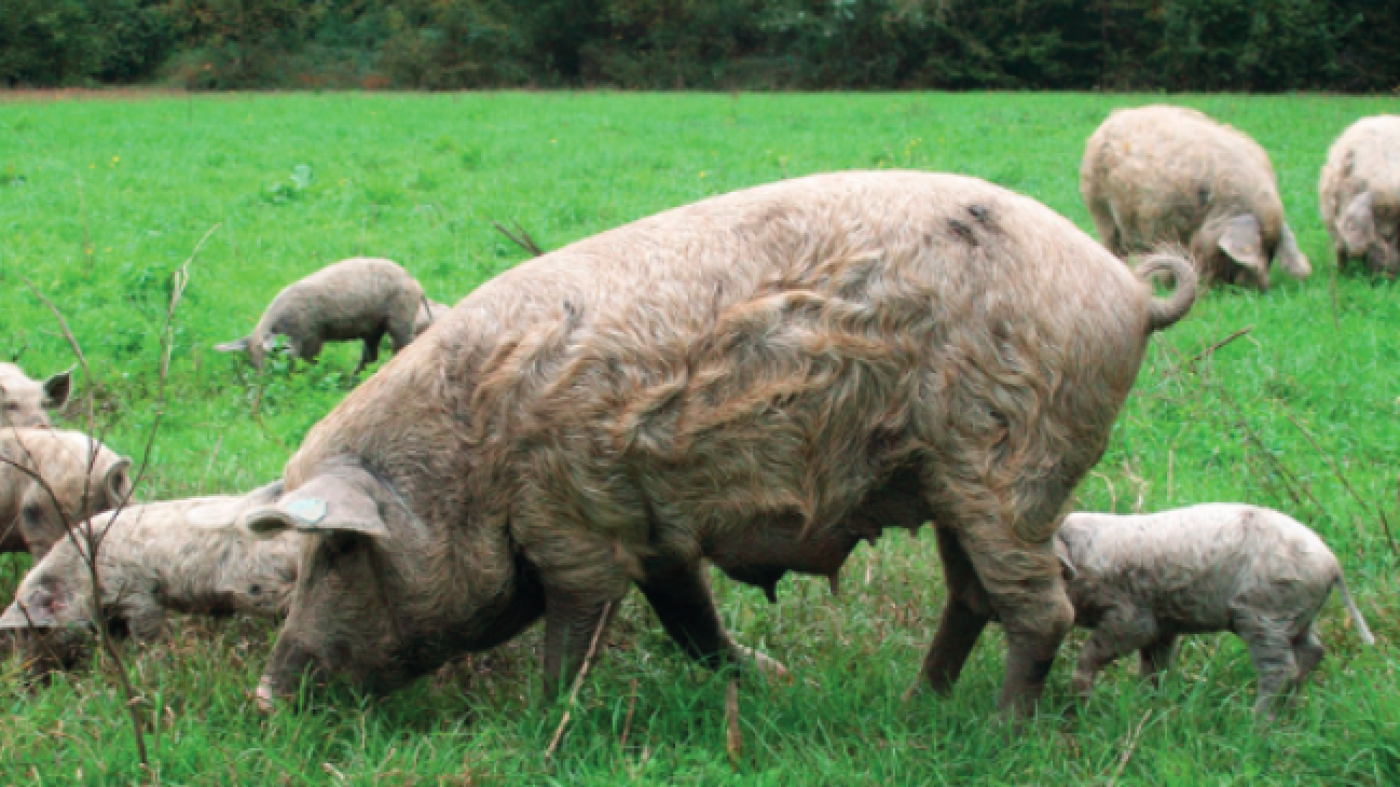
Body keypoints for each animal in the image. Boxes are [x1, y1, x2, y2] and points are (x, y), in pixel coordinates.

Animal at [0, 484, 300, 673]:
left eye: (34, 630)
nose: (23, 675)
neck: (82, 571)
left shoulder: (136, 590)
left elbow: (146, 628)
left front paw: (146, 660)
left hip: (259, 583)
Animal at [215, 257, 427, 374]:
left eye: (271, 359)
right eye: (253, 362)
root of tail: (416, 283)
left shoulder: (313, 336)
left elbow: (311, 361)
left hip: (400, 316)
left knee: (403, 345)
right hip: (374, 328)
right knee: (370, 356)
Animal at [240, 171, 1197, 717]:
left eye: (336, 553)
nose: (263, 695)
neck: (468, 460)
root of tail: (1125, 291)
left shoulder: (576, 529)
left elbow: (574, 636)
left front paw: (545, 730)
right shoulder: (654, 532)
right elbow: (693, 623)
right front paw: (775, 679)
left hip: (1012, 468)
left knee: (1041, 610)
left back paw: (998, 734)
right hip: (956, 484)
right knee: (974, 597)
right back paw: (916, 706)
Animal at [1055, 504, 1375, 715]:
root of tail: (1332, 564)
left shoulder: (1130, 614)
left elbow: (1098, 651)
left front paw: (1077, 700)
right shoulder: (1163, 623)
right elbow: (1155, 665)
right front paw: (1149, 705)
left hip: (1266, 613)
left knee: (1281, 669)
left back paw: (1256, 724)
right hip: (1298, 615)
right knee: (1313, 651)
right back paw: (1289, 714)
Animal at [1081, 105, 1312, 291]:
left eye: (1271, 254)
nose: (1254, 287)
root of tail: (1115, 115)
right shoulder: (1160, 220)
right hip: (1099, 206)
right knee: (1113, 243)